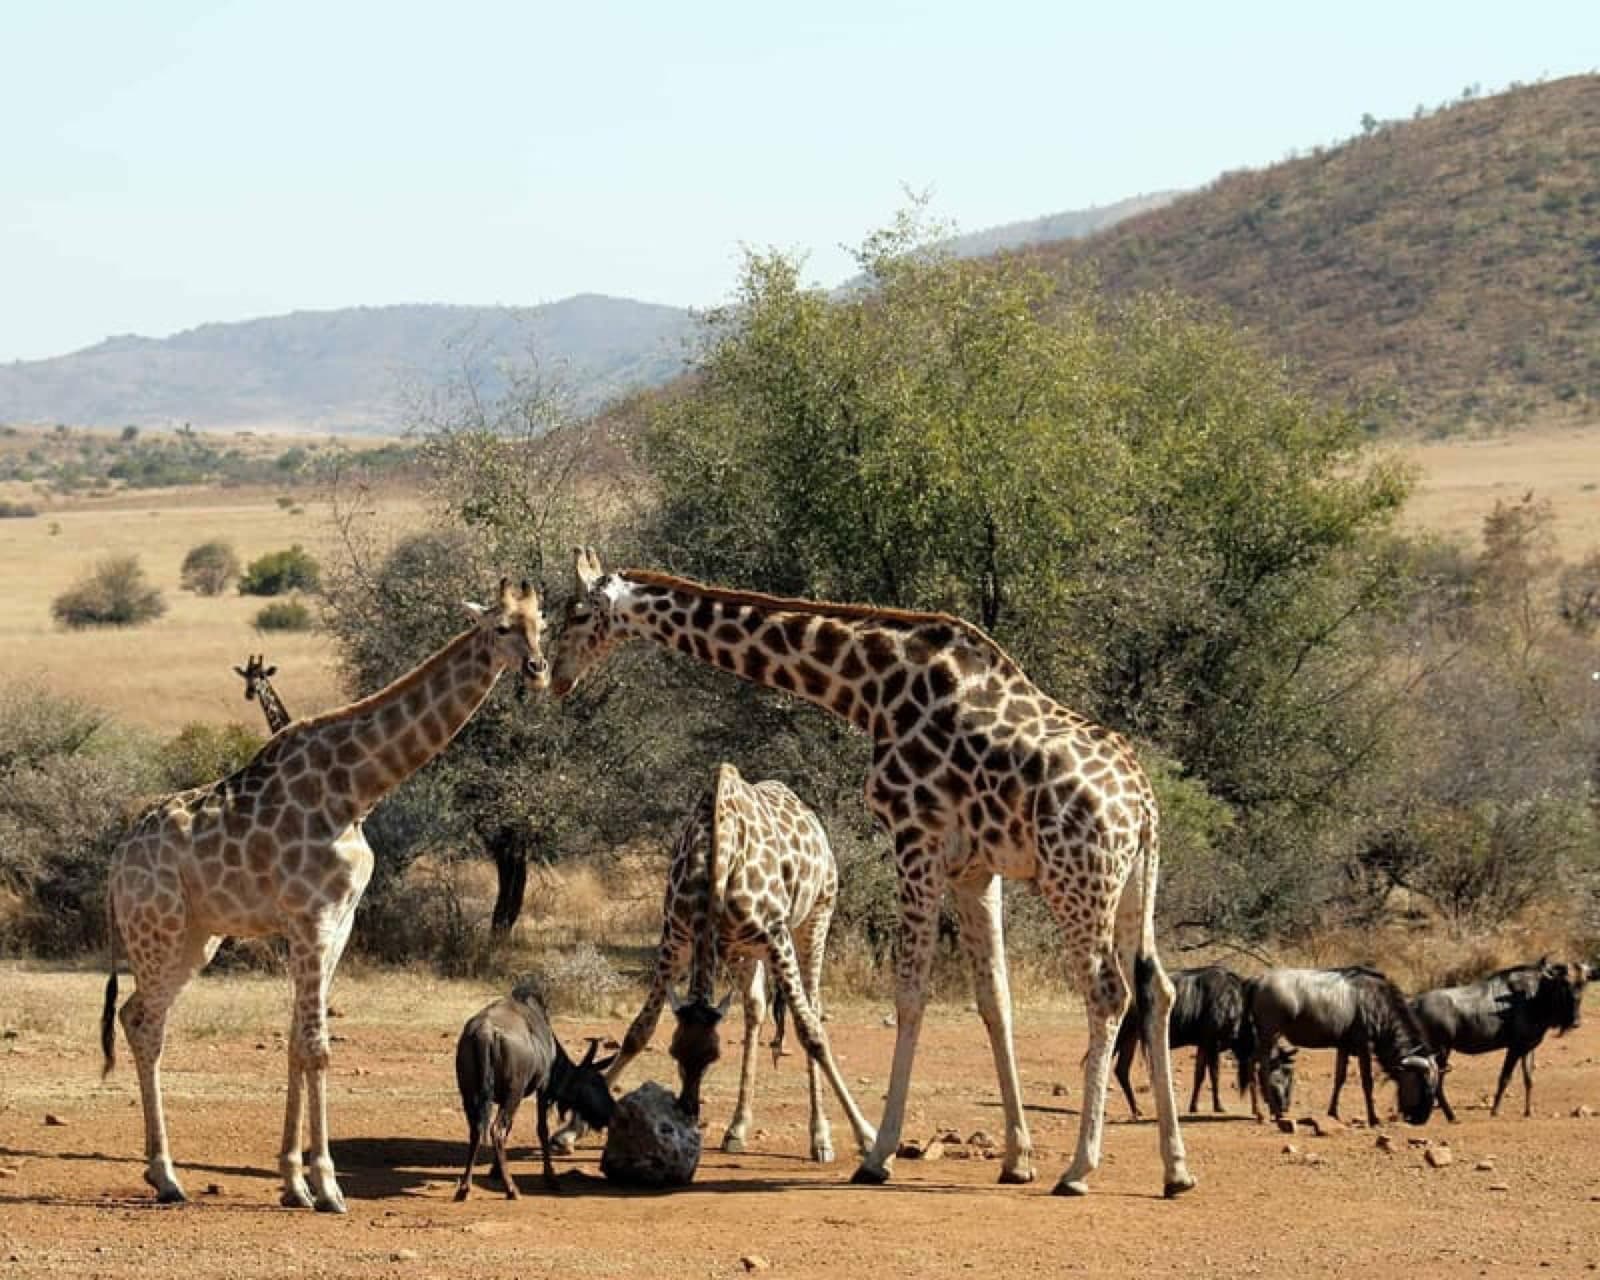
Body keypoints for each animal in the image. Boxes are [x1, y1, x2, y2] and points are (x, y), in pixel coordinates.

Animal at [101, 579, 548, 1212]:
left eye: (543, 625)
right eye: (501, 627)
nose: (537, 670)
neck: (356, 791)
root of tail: (117, 860)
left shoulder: (339, 922)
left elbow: (296, 1043)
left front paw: (294, 1182)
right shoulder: (310, 918)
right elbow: (318, 1047)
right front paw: (330, 1186)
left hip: (197, 937)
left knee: (136, 1014)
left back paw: (161, 1173)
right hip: (157, 929)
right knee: (145, 1023)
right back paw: (166, 1176)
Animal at [554, 763, 874, 1163]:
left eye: (714, 1056)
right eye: (675, 1051)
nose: (690, 1108)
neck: (715, 861)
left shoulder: (776, 935)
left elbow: (811, 1034)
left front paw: (865, 1137)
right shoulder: (674, 939)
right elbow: (637, 1033)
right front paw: (569, 1132)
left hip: (815, 919)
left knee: (812, 1008)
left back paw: (820, 1138)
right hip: (741, 950)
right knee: (756, 1008)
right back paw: (737, 1129)